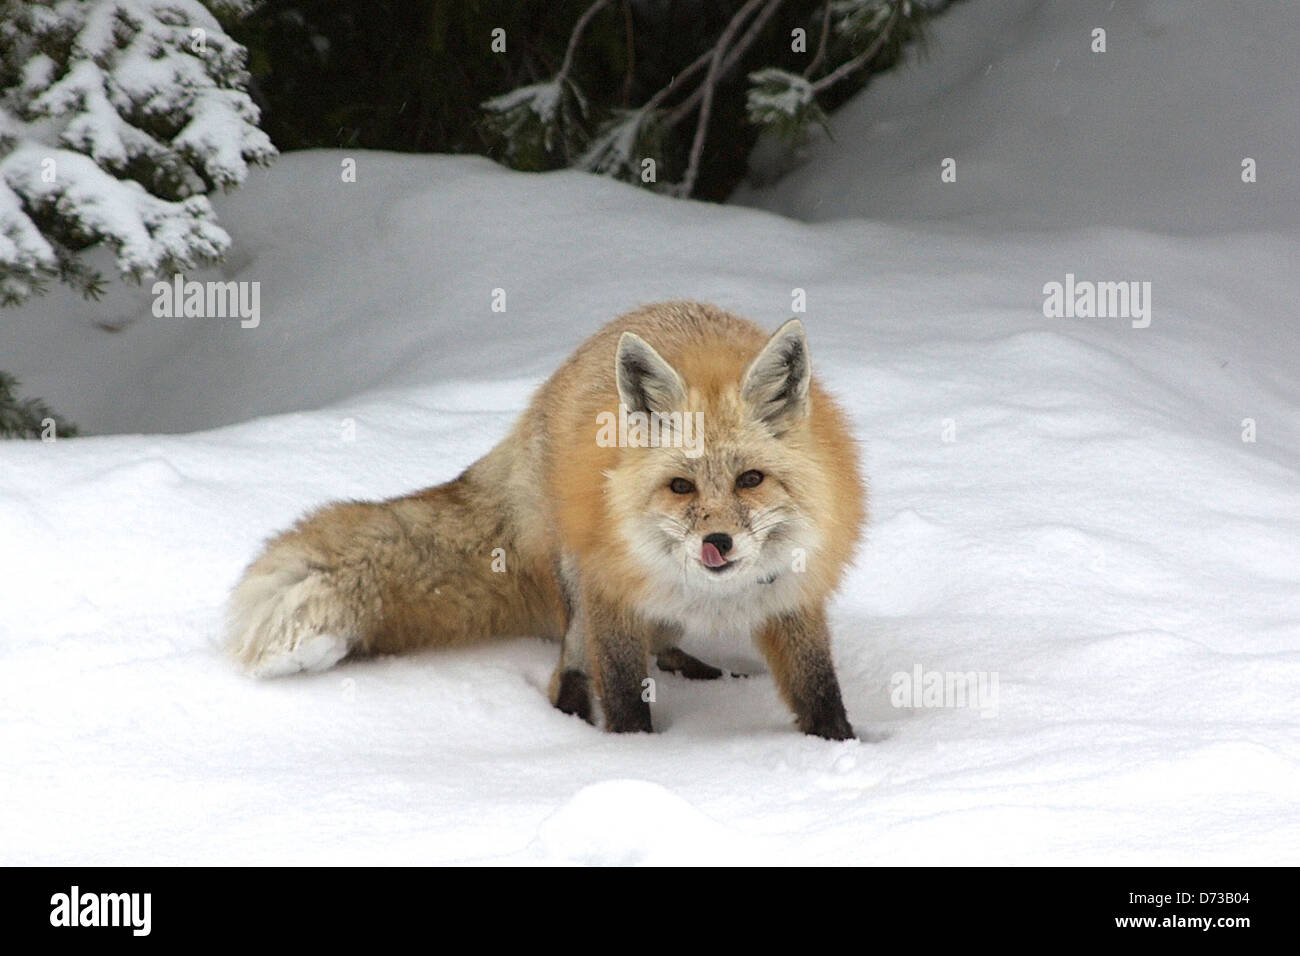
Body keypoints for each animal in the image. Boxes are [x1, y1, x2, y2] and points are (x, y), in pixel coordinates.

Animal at [227, 301, 866, 738]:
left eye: (750, 480)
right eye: (681, 486)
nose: (718, 542)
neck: (718, 594)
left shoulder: (792, 597)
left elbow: (818, 689)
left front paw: (839, 748)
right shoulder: (611, 595)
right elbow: (624, 692)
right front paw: (639, 758)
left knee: (663, 643)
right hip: (577, 592)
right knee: (568, 674)